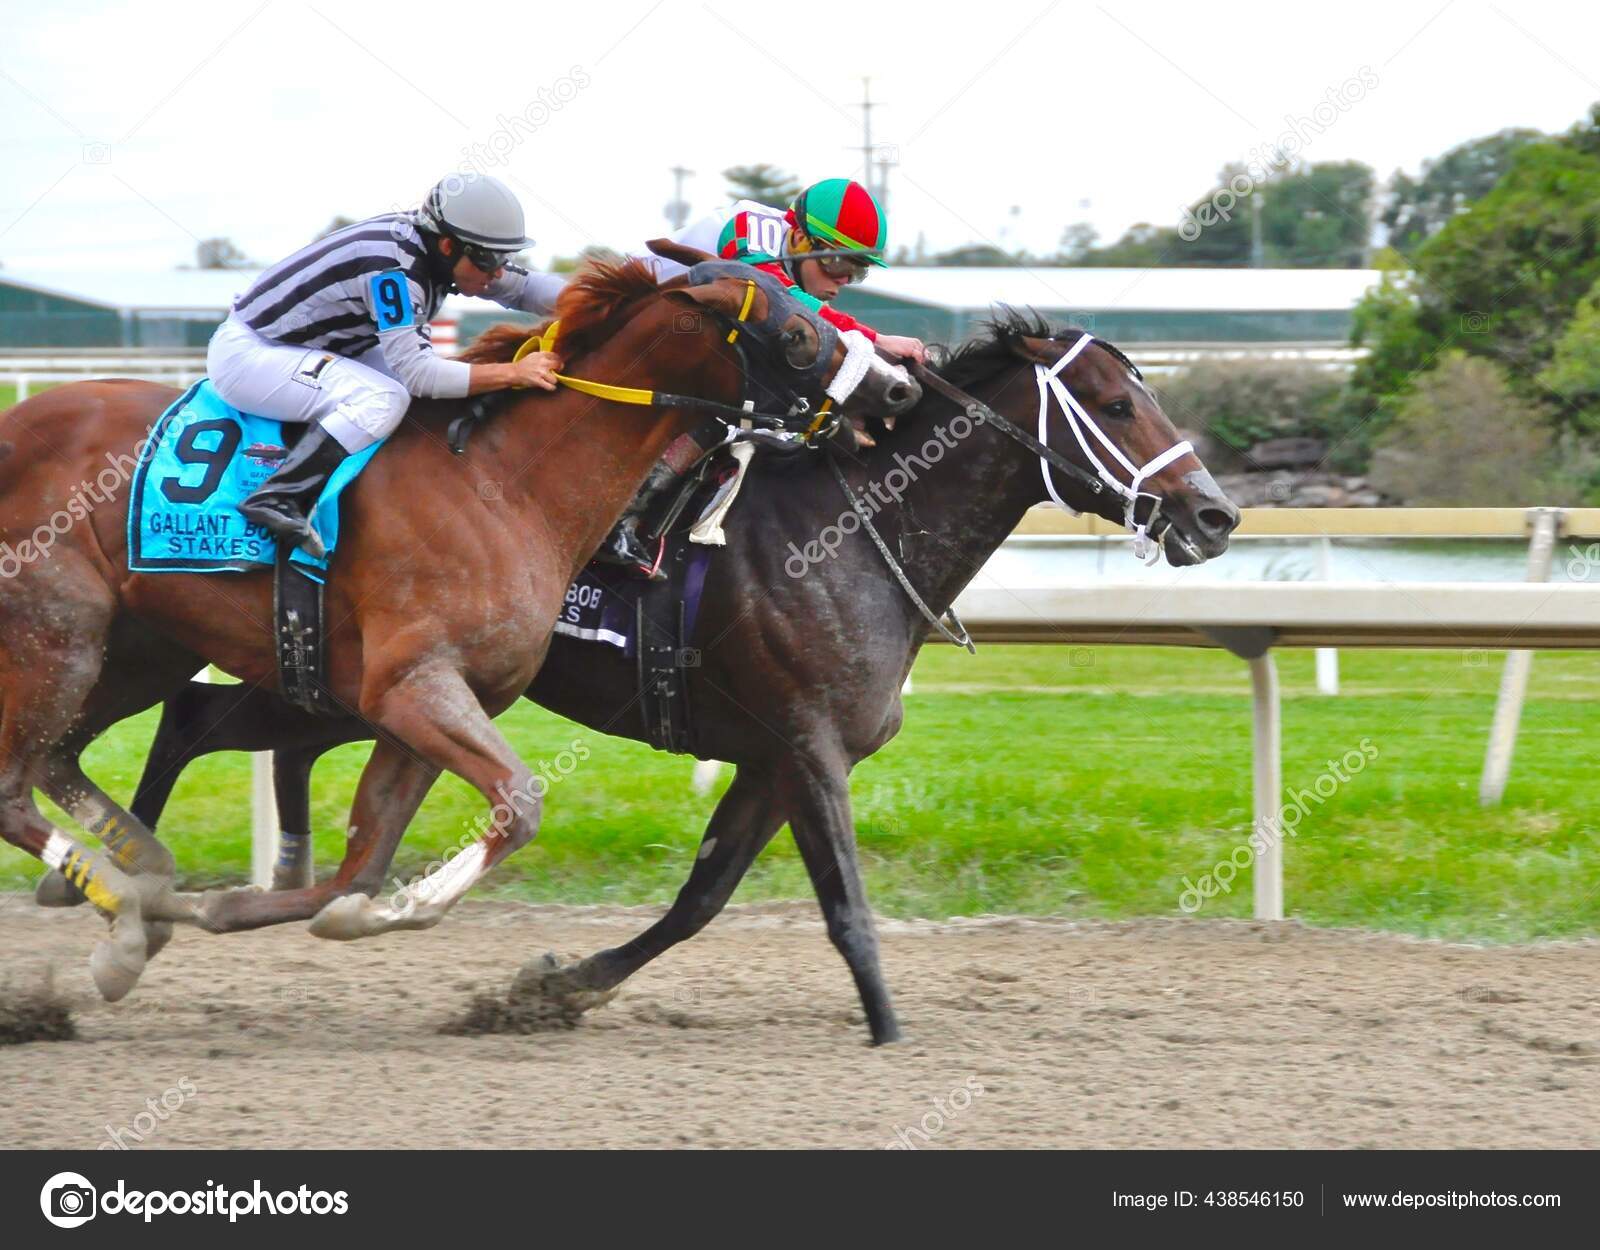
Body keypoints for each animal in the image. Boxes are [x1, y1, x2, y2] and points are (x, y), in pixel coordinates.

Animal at [0, 257, 919, 1002]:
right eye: (797, 333)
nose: (899, 390)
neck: (507, 484)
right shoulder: (415, 688)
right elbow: (518, 806)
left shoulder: (429, 703)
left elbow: (363, 868)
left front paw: (325, 910)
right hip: (61, 634)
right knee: (18, 786)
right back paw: (125, 922)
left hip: (139, 649)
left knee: (65, 755)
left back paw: (141, 882)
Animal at [73, 310, 1238, 1042]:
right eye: (1115, 404)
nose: (1215, 514)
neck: (856, 530)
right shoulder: (809, 745)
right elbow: (844, 906)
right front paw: (890, 1030)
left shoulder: (770, 758)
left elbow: (699, 899)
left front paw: (555, 989)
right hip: (363, 680)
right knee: (189, 718)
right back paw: (119, 884)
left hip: (354, 691)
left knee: (212, 723)